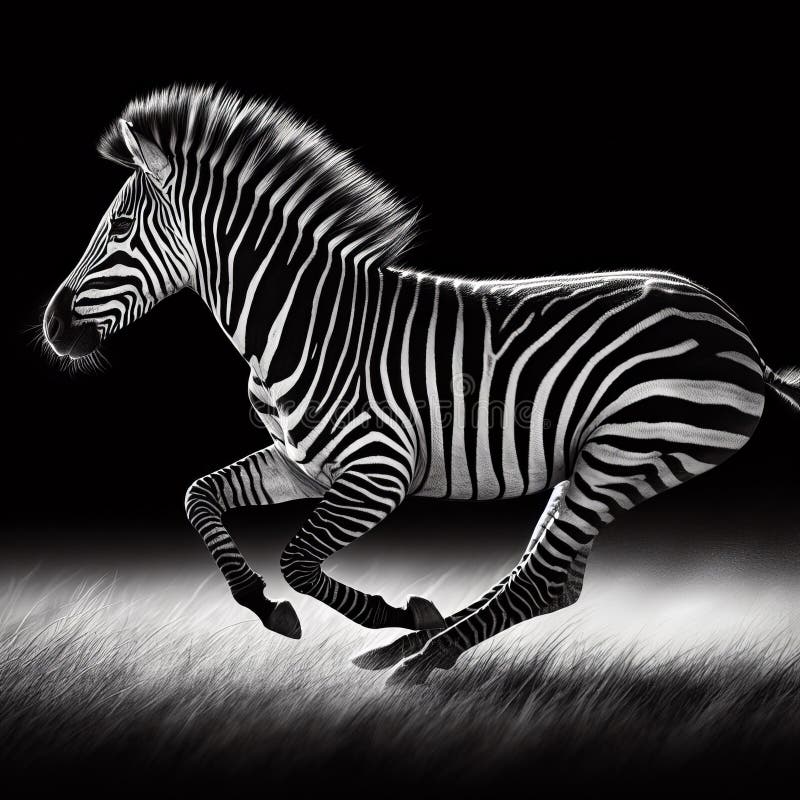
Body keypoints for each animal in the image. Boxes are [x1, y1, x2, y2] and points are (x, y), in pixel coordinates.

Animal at [43, 85, 799, 687]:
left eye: (116, 228)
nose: (53, 327)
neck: (304, 320)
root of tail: (739, 335)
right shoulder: (301, 464)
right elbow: (198, 497)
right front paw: (265, 604)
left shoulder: (379, 472)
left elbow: (297, 559)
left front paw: (383, 610)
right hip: (594, 464)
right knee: (556, 580)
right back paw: (417, 644)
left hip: (628, 453)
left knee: (540, 580)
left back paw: (417, 658)